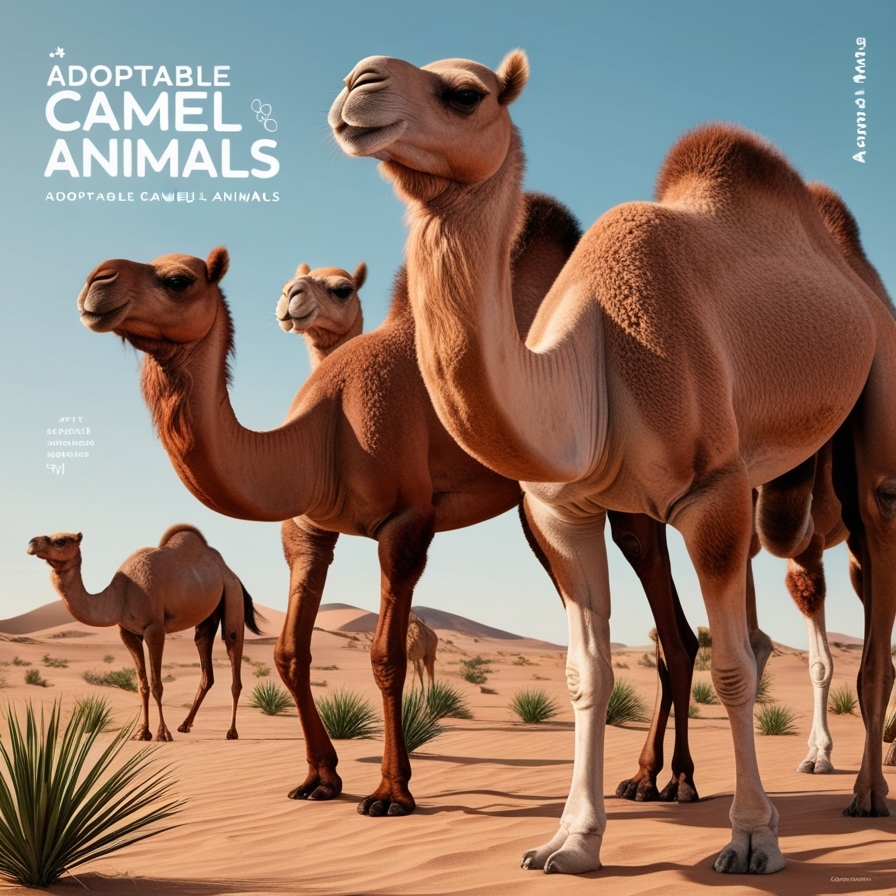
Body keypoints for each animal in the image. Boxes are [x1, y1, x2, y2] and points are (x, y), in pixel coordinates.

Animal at [27, 525, 262, 741]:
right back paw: (185, 725)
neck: (121, 595)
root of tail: (230, 573)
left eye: (60, 541)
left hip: (232, 594)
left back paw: (231, 731)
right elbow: (142, 685)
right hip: (207, 616)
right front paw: (142, 732)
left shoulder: (154, 629)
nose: (31, 543)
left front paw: (162, 733)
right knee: (204, 658)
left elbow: (157, 685)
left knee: (233, 646)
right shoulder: (128, 632)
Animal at [329, 51, 896, 874]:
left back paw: (868, 792)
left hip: (876, 383)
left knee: (873, 544)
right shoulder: (563, 511)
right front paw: (569, 841)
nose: (356, 84)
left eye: (465, 94)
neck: (593, 364)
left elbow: (731, 667)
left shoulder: (712, 494)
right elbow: (585, 673)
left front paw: (752, 838)